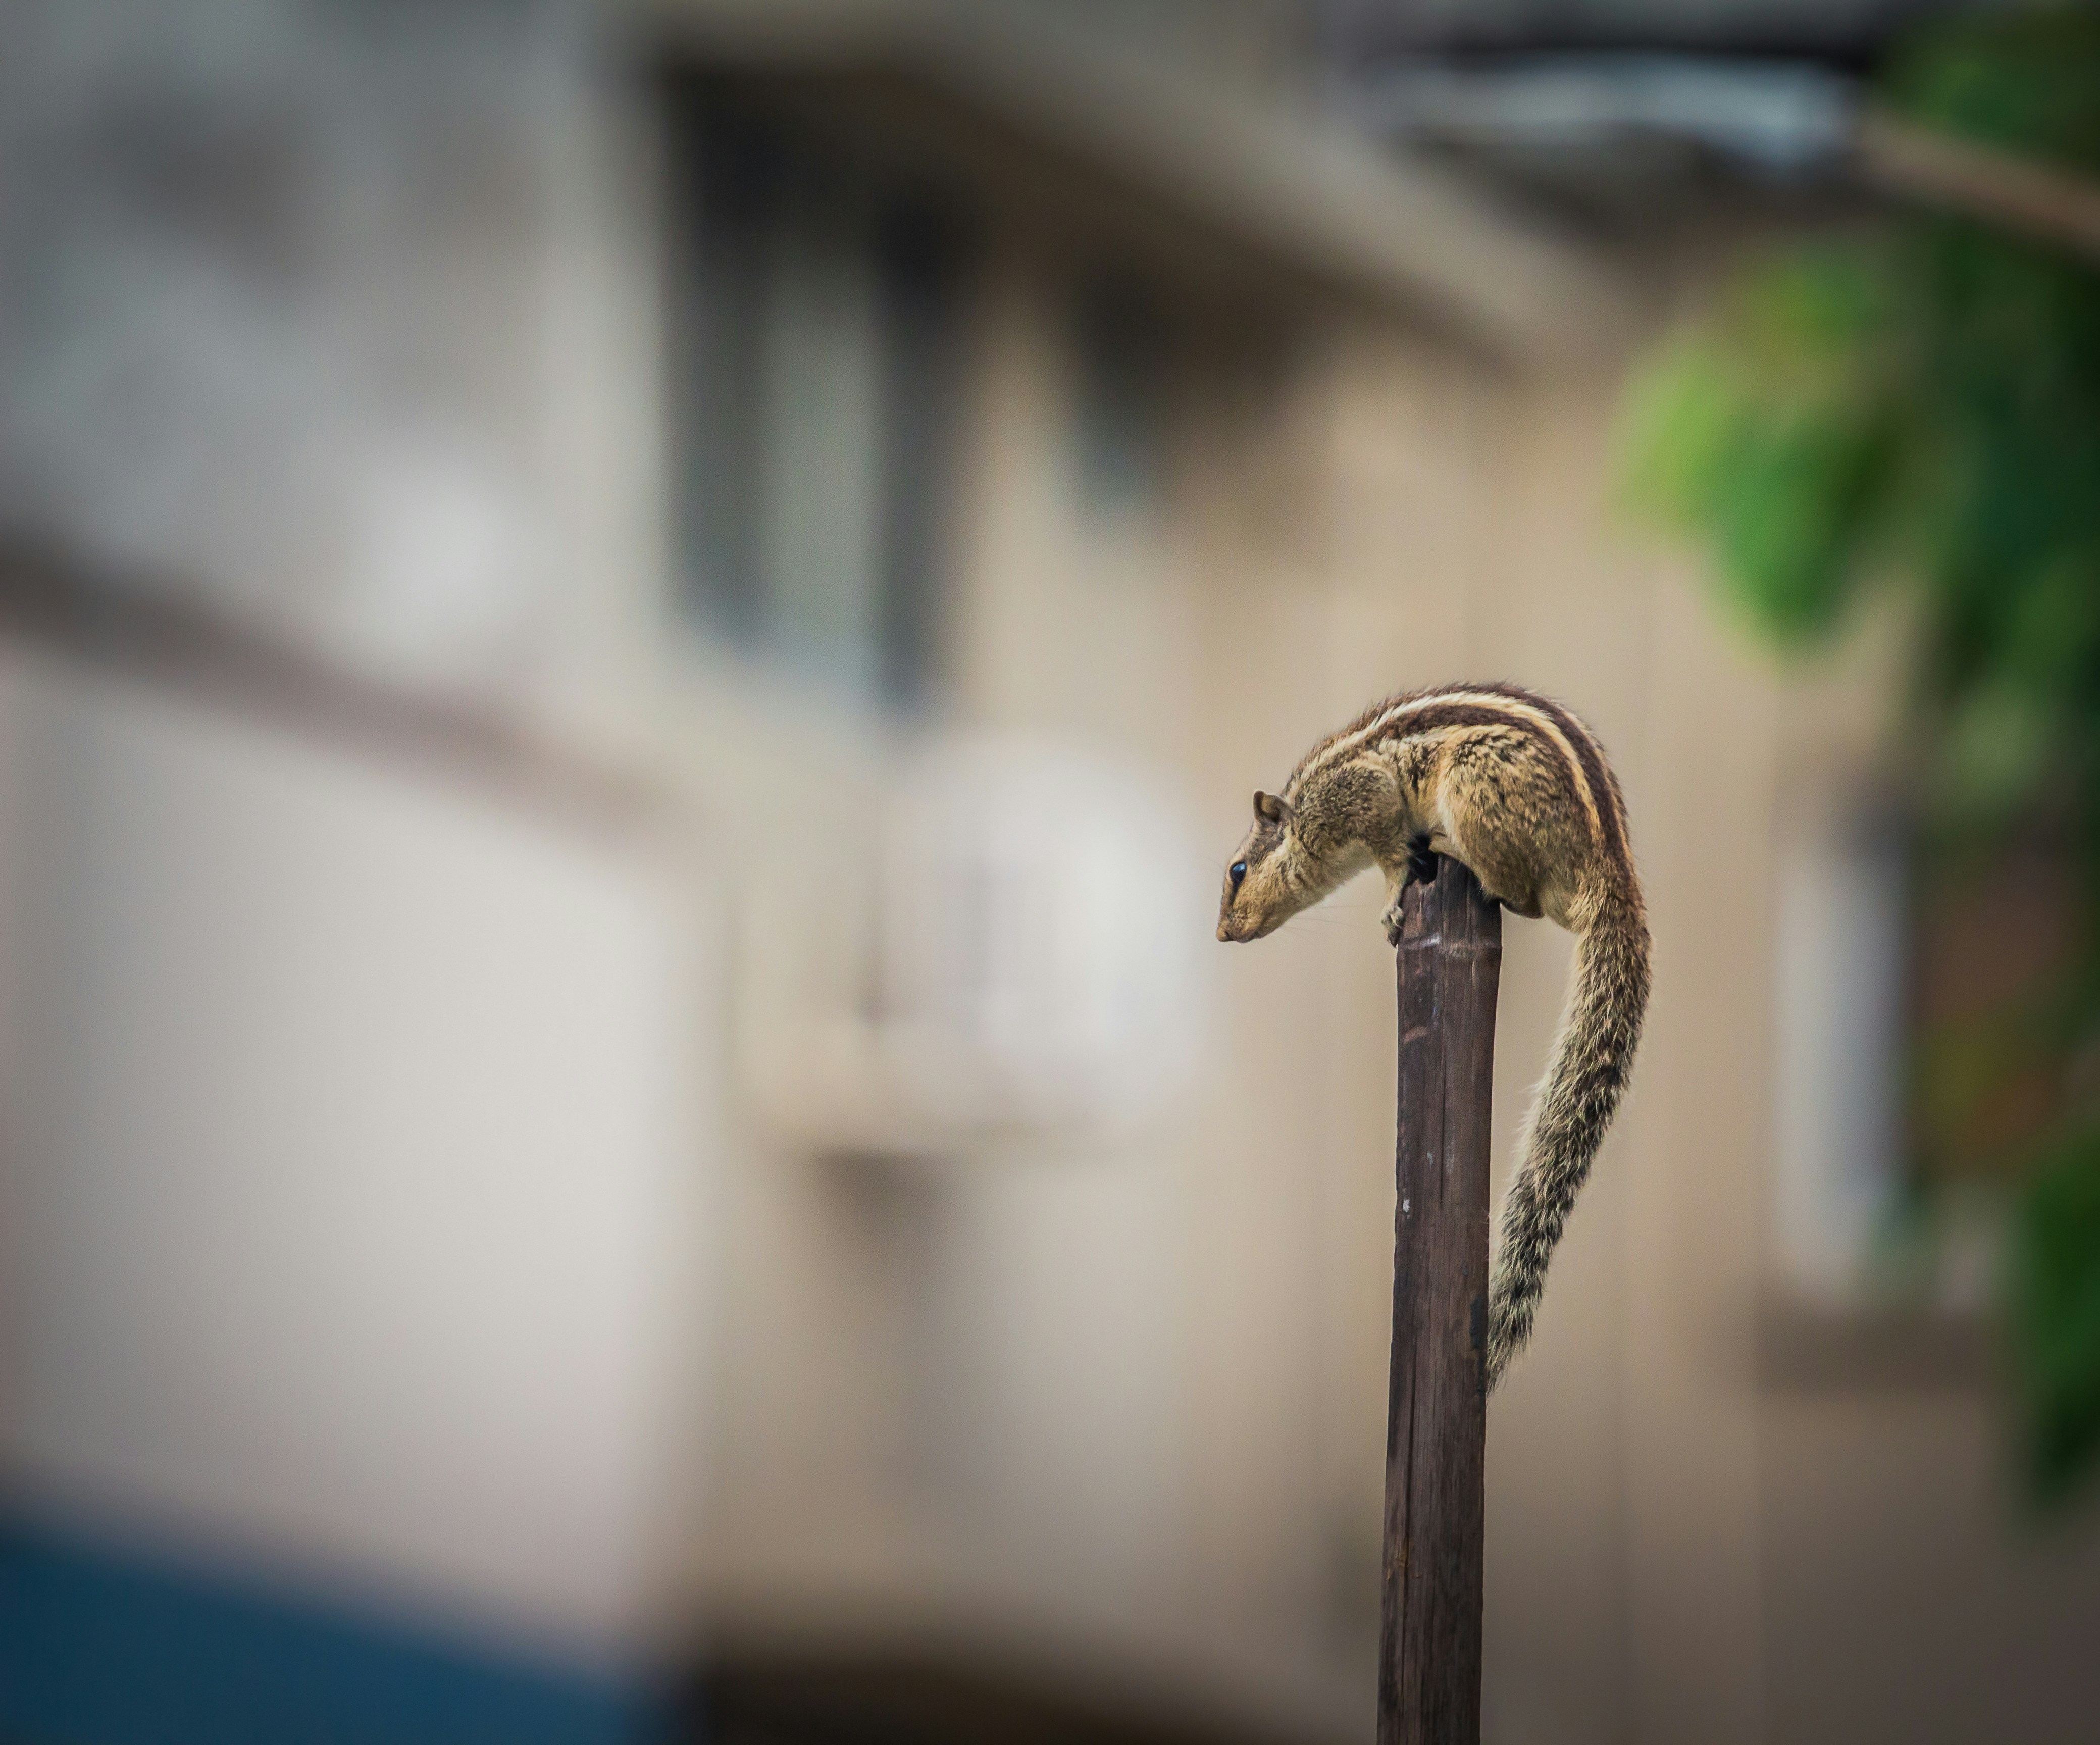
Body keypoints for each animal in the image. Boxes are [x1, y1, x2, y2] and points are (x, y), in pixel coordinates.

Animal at [1216, 682, 1650, 1390]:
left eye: (1236, 871)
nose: (1222, 934)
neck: (1307, 811)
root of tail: (1613, 868)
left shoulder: (1367, 801)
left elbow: (1393, 858)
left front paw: (1393, 902)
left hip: (1476, 785)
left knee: (1522, 897)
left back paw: (1450, 849)